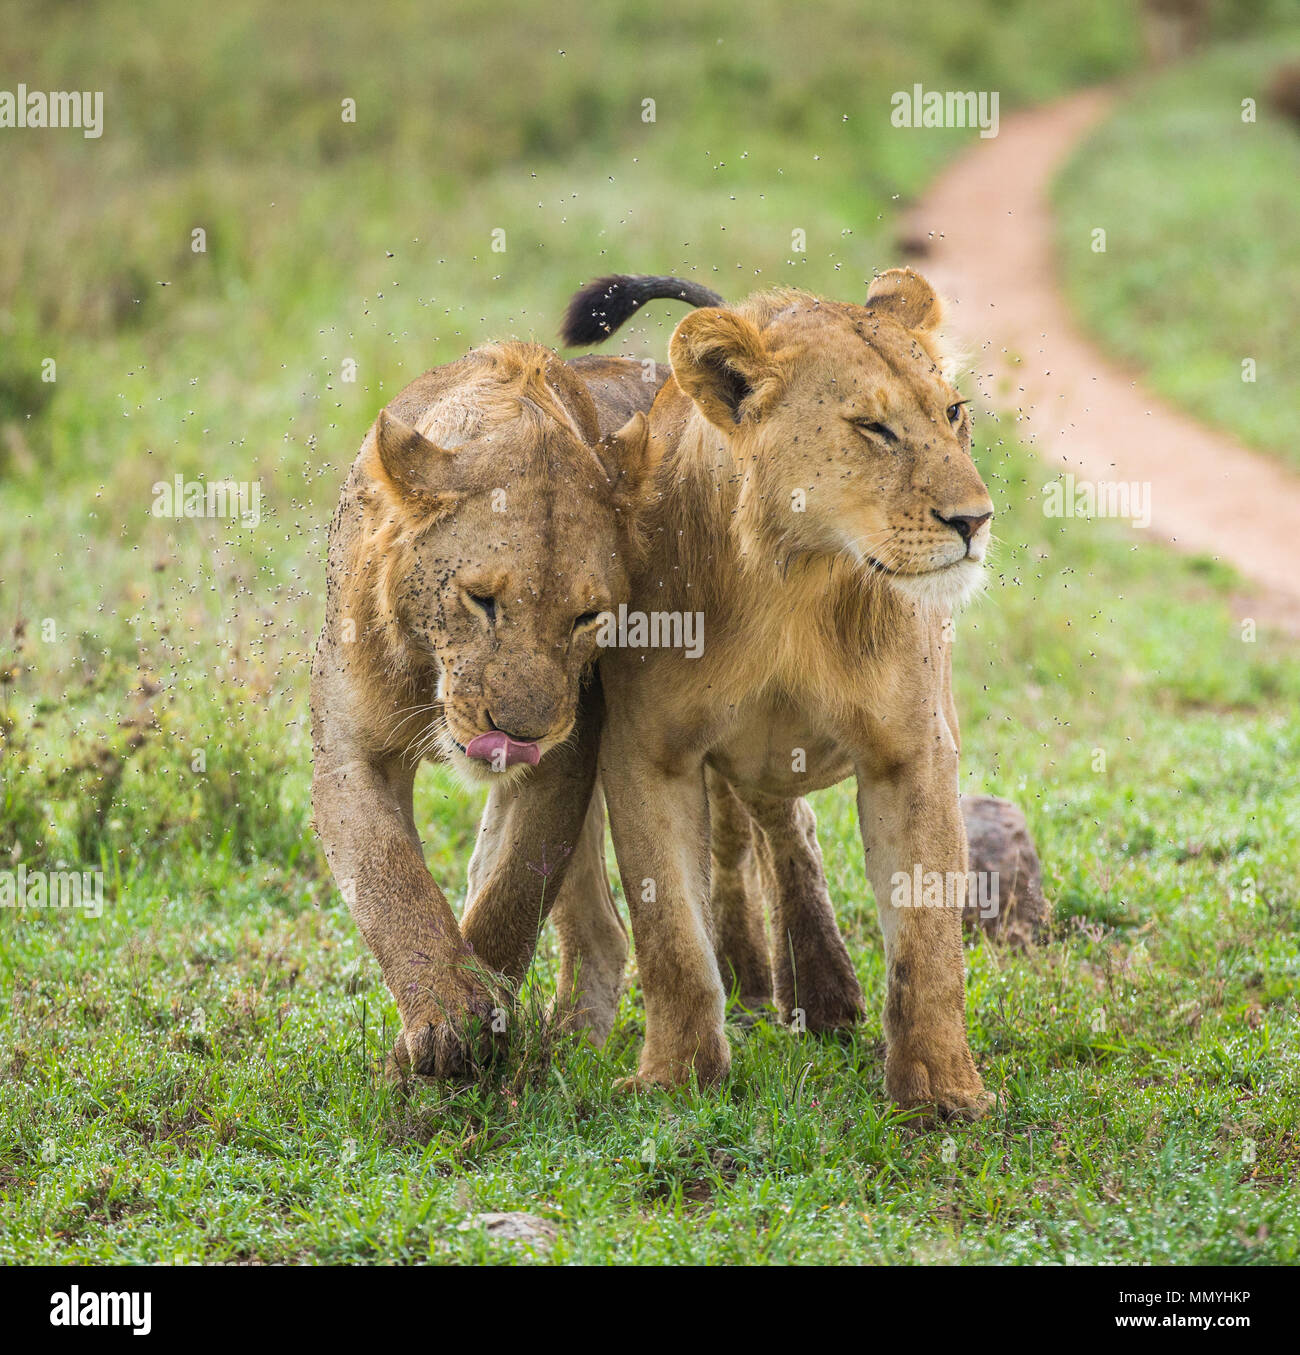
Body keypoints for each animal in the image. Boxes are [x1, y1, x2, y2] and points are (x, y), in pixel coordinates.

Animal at [309, 342, 658, 1076]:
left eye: (586, 616)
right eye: (481, 599)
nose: (518, 733)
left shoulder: (567, 753)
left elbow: (512, 889)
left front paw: (478, 1029)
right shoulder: (350, 753)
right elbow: (391, 880)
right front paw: (444, 1019)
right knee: (602, 928)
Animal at [474, 269, 995, 1118]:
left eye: (953, 413)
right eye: (873, 428)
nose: (975, 521)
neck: (794, 580)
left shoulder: (912, 750)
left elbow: (926, 940)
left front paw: (941, 1088)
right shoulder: (647, 752)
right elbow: (670, 935)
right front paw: (677, 1074)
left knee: (785, 830)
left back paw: (824, 991)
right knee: (738, 844)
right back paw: (762, 983)